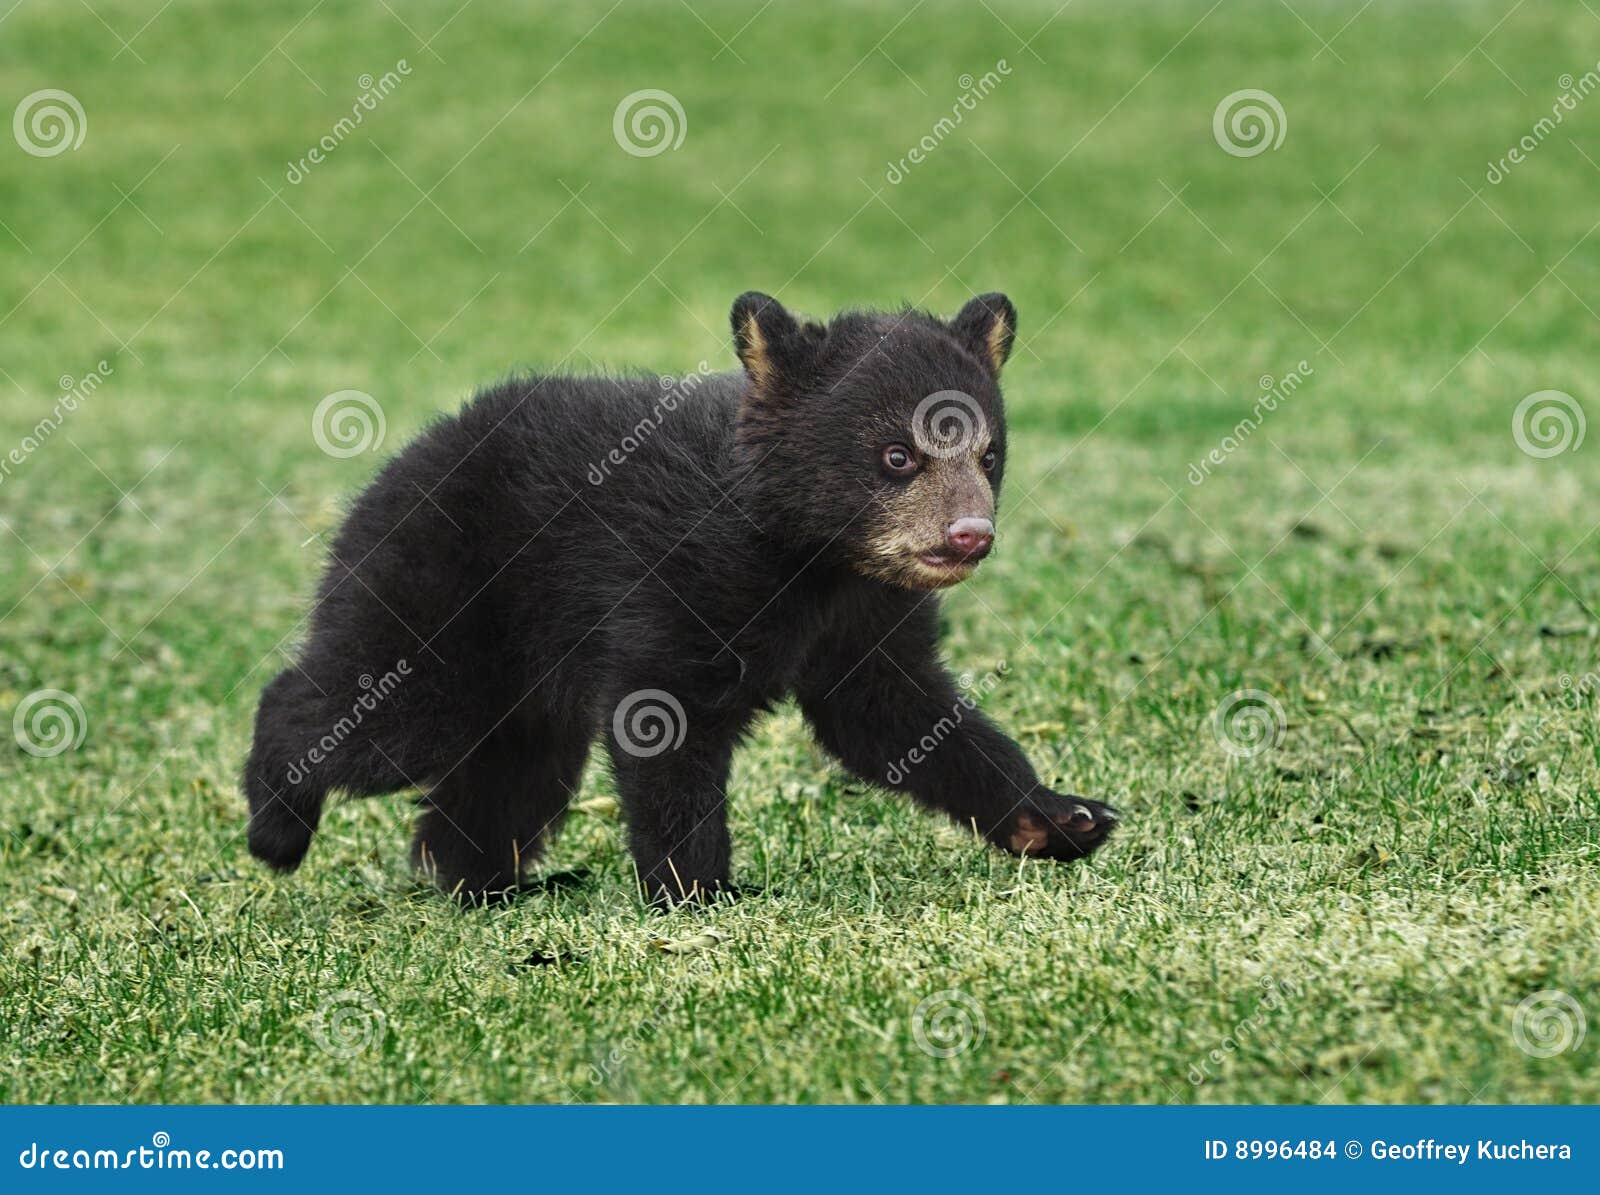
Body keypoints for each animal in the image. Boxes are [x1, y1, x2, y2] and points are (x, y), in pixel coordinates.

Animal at [243, 292, 1119, 904]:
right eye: (897, 454)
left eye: (989, 452)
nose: (969, 535)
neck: (812, 556)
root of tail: (388, 473)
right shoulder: (679, 575)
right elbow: (665, 713)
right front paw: (701, 888)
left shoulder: (866, 612)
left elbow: (897, 714)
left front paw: (1061, 815)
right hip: (443, 595)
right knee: (374, 704)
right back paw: (278, 826)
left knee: (520, 764)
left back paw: (488, 882)